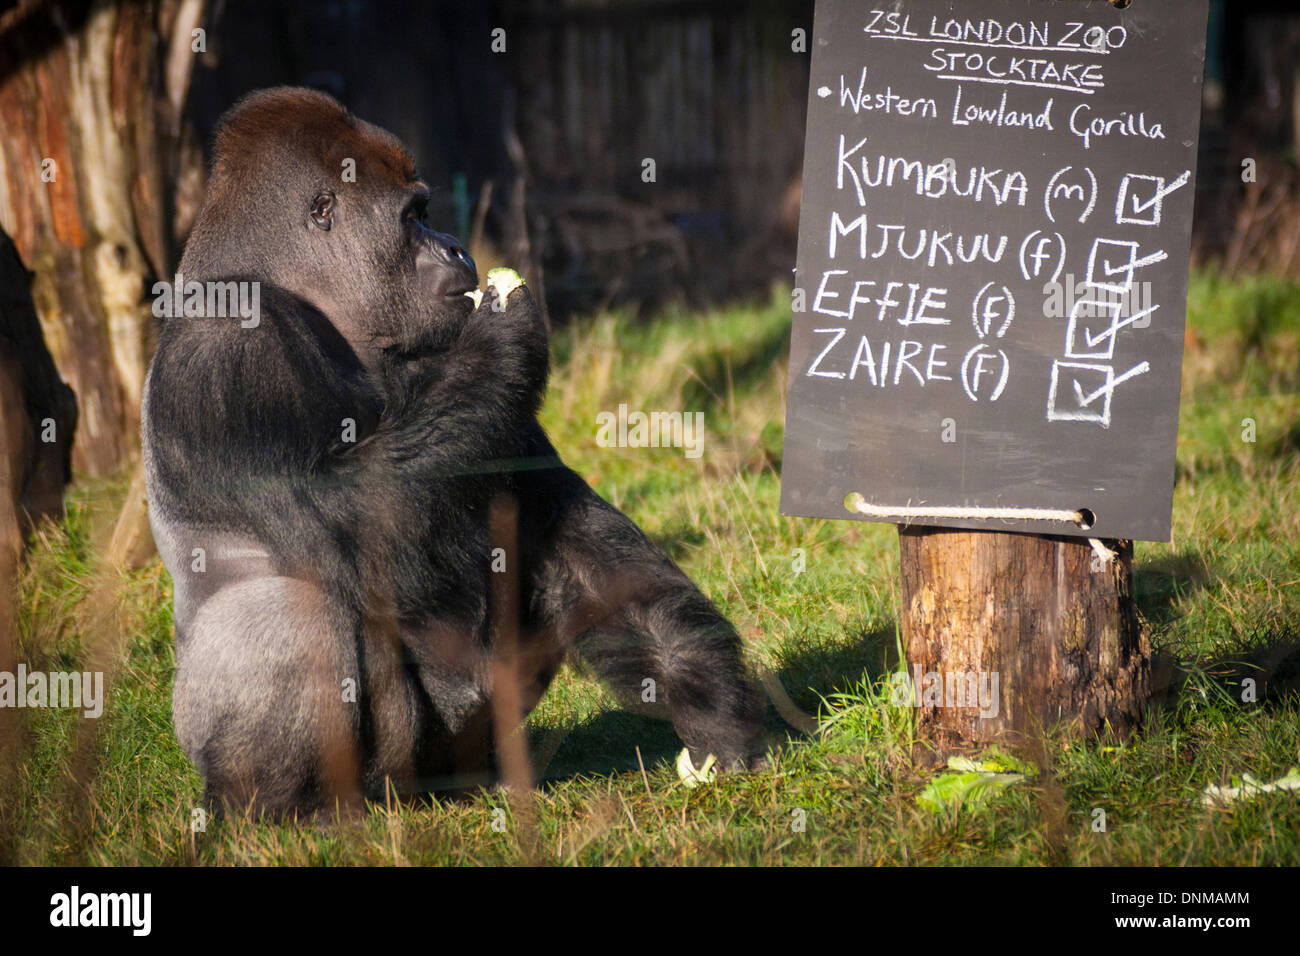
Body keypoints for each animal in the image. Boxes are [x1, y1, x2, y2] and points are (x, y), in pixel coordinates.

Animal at [142, 87, 765, 812]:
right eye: (413, 219)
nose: (458, 248)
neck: (305, 296)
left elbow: (558, 524)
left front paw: (713, 709)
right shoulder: (231, 348)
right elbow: (340, 522)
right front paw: (499, 333)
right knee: (293, 605)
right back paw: (279, 808)